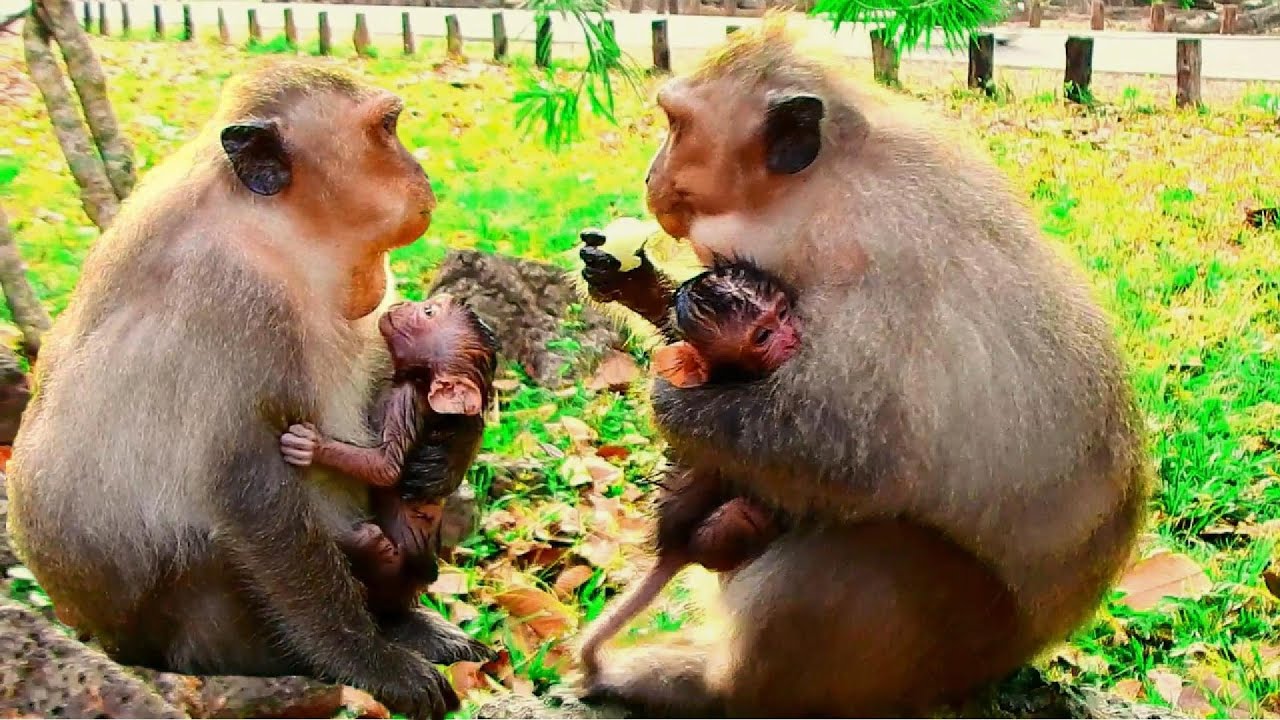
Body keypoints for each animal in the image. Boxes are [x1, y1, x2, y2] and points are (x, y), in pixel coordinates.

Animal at [279, 293, 498, 618]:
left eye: (428, 312)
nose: (404, 303)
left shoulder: (405, 401)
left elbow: (387, 468)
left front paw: (313, 447)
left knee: (371, 541)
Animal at [574, 16, 1150, 718]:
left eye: (676, 125)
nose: (650, 176)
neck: (825, 185)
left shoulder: (875, 267)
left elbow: (852, 453)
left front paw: (676, 406)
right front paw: (634, 283)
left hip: (954, 638)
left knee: (868, 546)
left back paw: (708, 687)